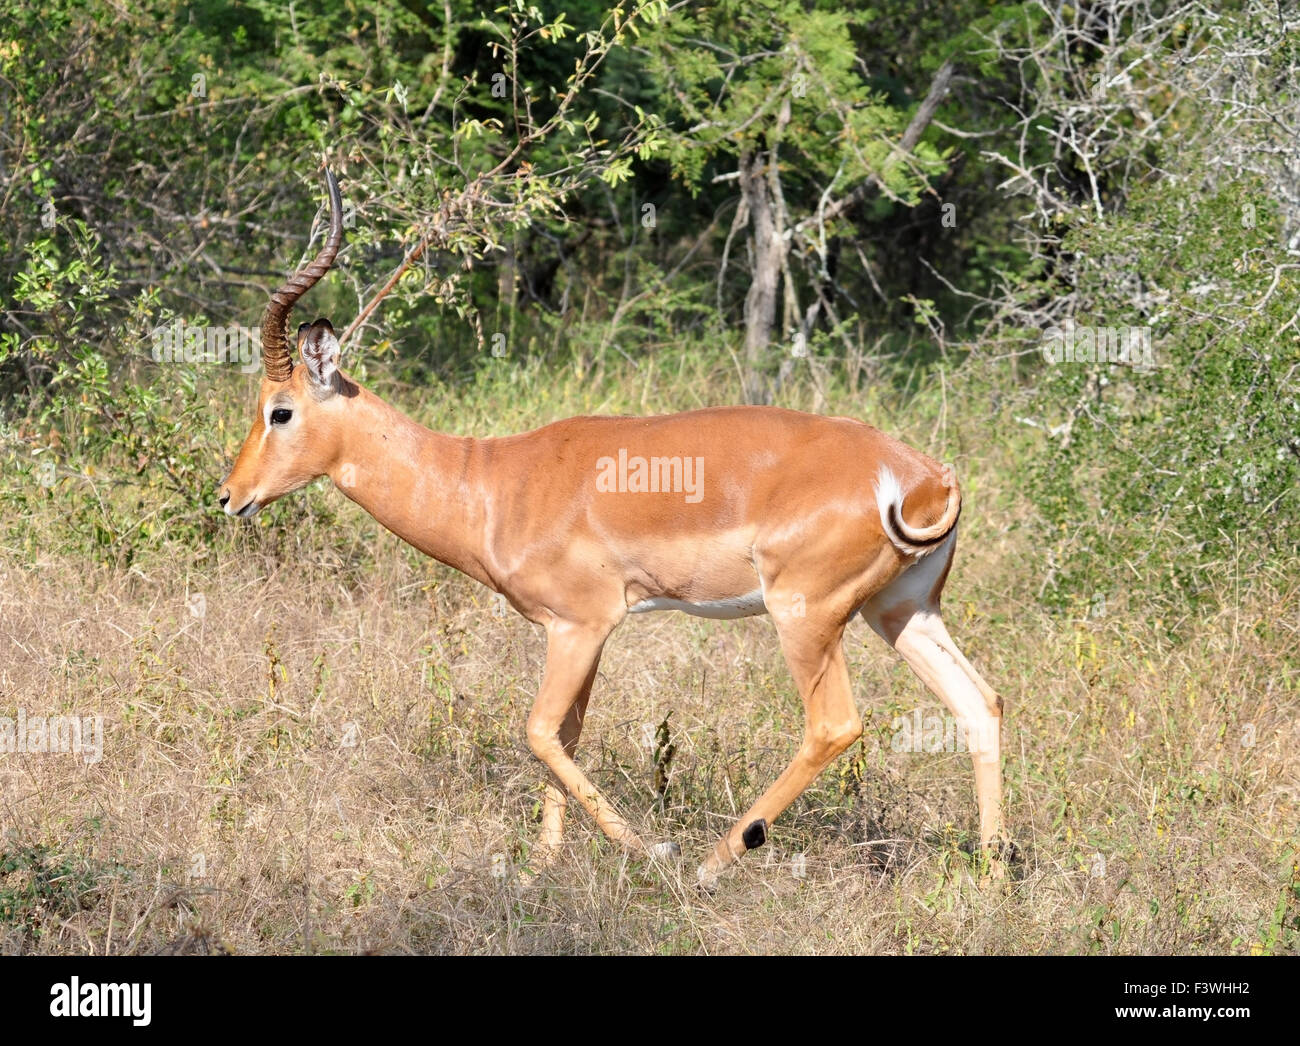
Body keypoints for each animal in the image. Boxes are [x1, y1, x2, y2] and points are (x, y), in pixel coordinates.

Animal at [219, 171, 1008, 889]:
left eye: (279, 410)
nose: (230, 496)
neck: (492, 484)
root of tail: (927, 477)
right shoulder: (575, 632)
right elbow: (563, 735)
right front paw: (543, 869)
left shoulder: (582, 624)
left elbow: (538, 731)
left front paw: (649, 850)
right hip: (901, 611)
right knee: (980, 703)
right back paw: (993, 874)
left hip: (806, 615)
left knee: (835, 725)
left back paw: (711, 863)